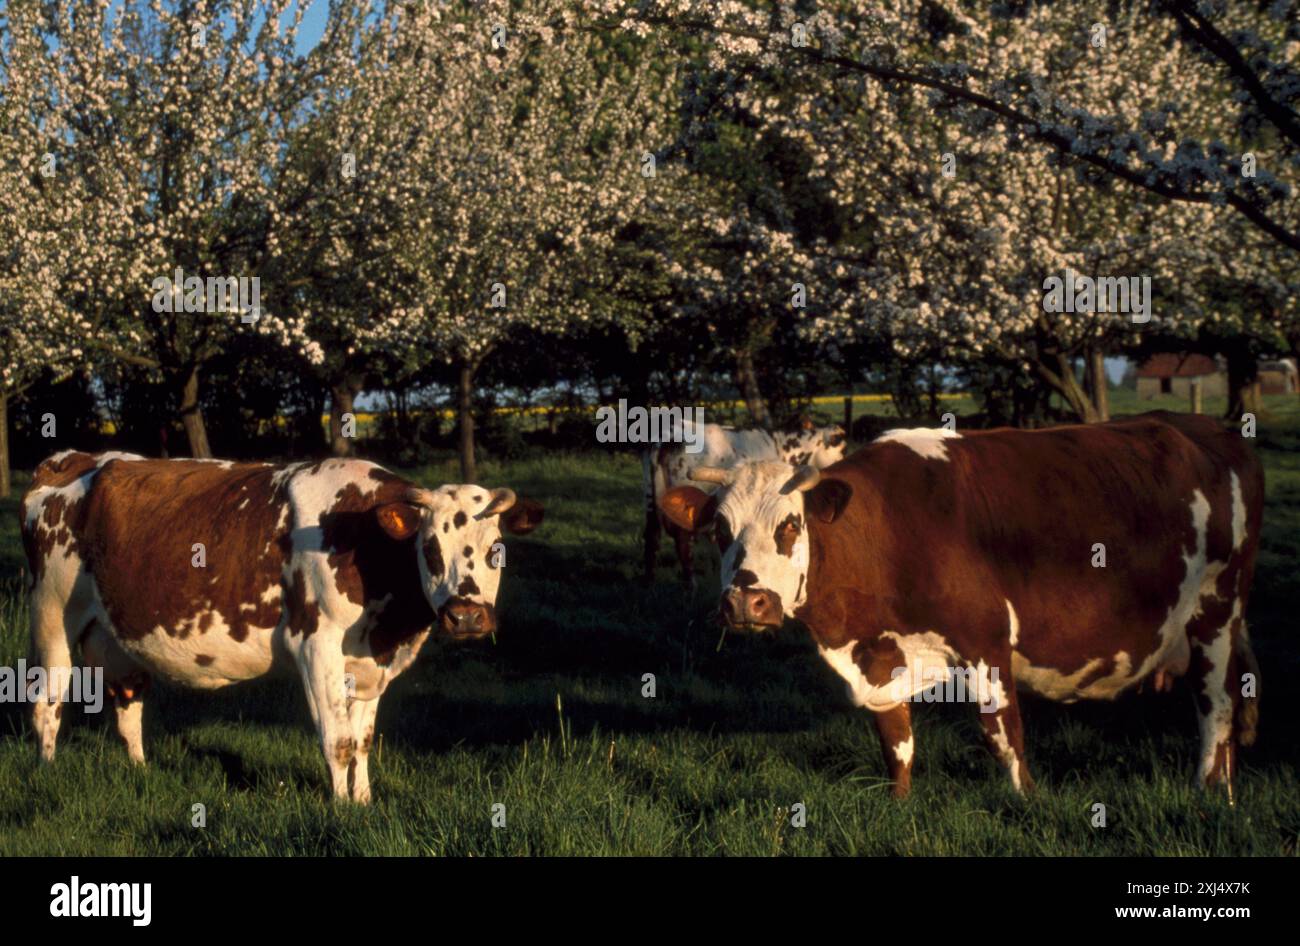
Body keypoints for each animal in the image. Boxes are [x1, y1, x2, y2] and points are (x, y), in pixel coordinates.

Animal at [20, 449, 543, 803]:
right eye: (430, 547)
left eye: (495, 548)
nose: (467, 615)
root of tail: (73, 460)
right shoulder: (317, 647)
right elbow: (338, 741)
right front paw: (340, 809)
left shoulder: (370, 664)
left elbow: (363, 741)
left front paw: (364, 802)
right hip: (52, 616)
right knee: (48, 701)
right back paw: (46, 773)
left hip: (116, 637)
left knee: (128, 707)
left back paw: (142, 772)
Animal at [644, 418, 846, 585]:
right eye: (841, 448)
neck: (779, 445)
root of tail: (667, 439)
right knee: (684, 548)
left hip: (651, 501)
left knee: (652, 541)